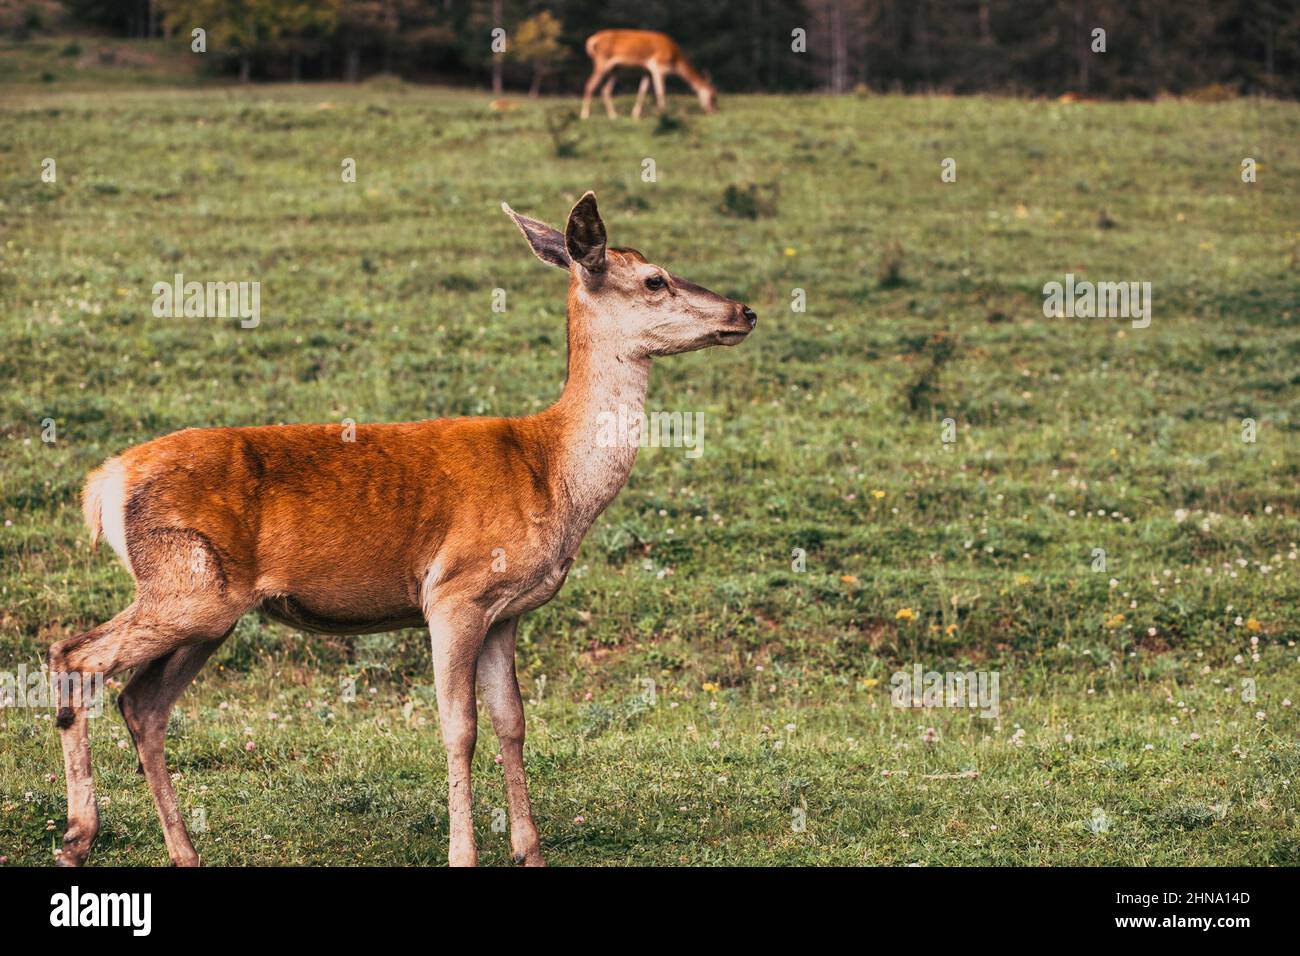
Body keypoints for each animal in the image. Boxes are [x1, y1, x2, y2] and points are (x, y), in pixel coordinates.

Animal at [48, 192, 756, 868]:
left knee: (142, 703)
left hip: (209, 608)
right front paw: (464, 853)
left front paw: (530, 850)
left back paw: (183, 851)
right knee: (73, 654)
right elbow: (459, 726)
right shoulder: (453, 593)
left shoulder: (506, 612)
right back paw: (76, 836)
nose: (745, 311)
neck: (552, 474)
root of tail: (104, 484)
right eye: (656, 279)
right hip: (187, 584)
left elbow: (513, 720)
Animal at [581, 29, 718, 120]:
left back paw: (613, 115)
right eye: (713, 96)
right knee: (589, 84)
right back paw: (584, 115)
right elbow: (660, 91)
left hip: (615, 70)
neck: (675, 60)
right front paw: (663, 113)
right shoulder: (658, 66)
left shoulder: (646, 71)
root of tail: (591, 40)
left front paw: (635, 115)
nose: (713, 112)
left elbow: (642, 92)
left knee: (605, 90)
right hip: (601, 62)